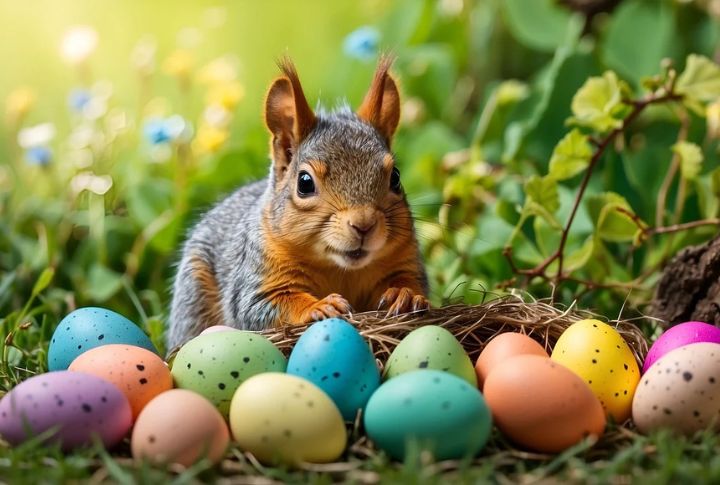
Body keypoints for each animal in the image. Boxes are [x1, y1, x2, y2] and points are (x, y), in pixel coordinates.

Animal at [167, 56, 429, 349]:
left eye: (395, 177)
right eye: (304, 183)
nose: (364, 224)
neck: (340, 269)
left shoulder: (405, 258)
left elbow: (410, 281)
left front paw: (403, 293)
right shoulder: (257, 279)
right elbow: (268, 304)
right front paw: (319, 307)